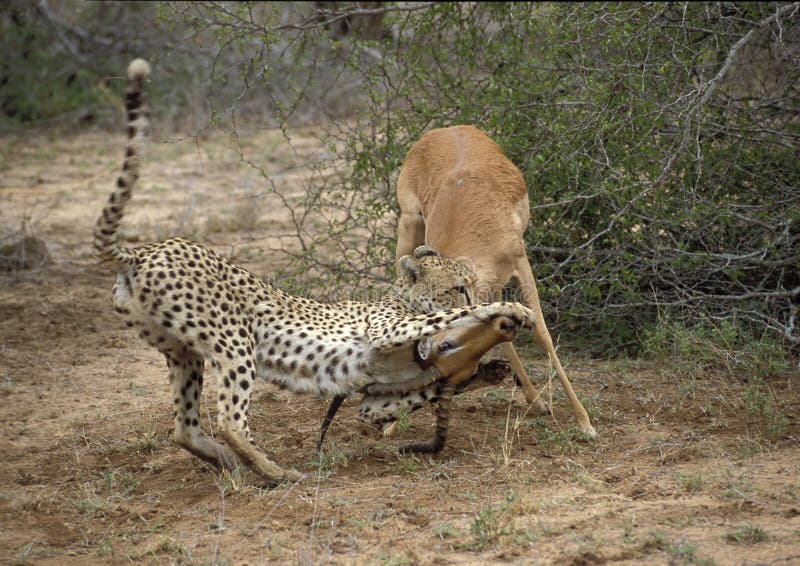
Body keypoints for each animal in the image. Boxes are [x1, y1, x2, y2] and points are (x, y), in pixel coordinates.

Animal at [93, 59, 537, 484]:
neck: (402, 300)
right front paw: (511, 311)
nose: (481, 294)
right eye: (458, 287)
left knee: (185, 428)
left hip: (181, 350)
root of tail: (145, 251)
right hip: (233, 341)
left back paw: (235, 464)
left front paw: (490, 369)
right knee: (231, 421)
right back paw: (276, 473)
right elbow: (451, 315)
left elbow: (406, 396)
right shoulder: (387, 330)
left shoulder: (377, 396)